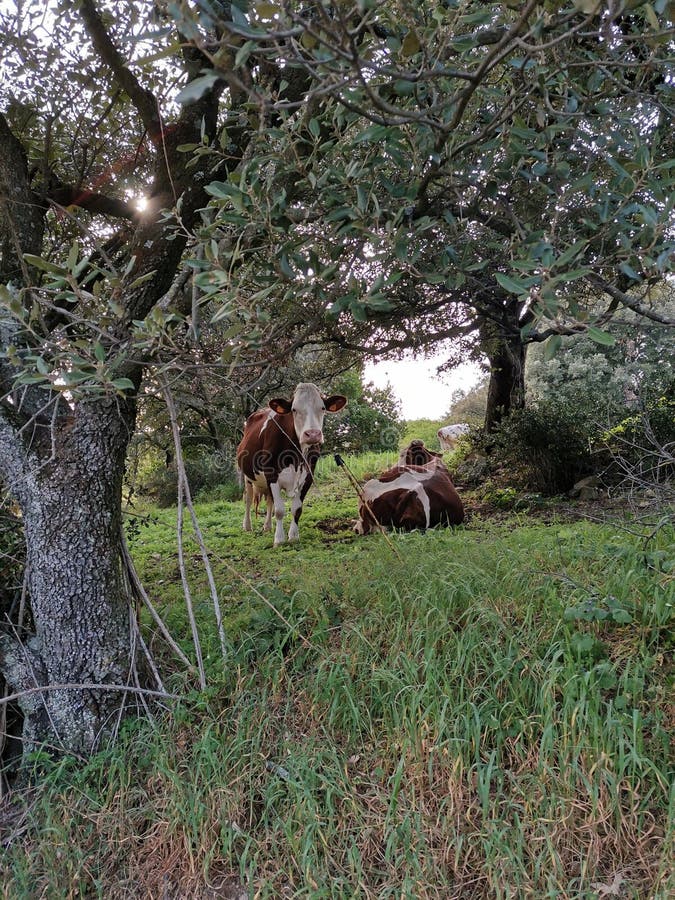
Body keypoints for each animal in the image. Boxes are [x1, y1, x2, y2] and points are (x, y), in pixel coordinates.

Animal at [236, 383, 347, 545]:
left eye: (322, 408)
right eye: (294, 409)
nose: (312, 434)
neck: (296, 456)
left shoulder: (308, 476)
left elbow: (296, 509)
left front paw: (293, 536)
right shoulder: (271, 475)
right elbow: (279, 510)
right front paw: (279, 539)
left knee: (269, 501)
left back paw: (267, 526)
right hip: (247, 476)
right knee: (248, 499)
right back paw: (247, 526)